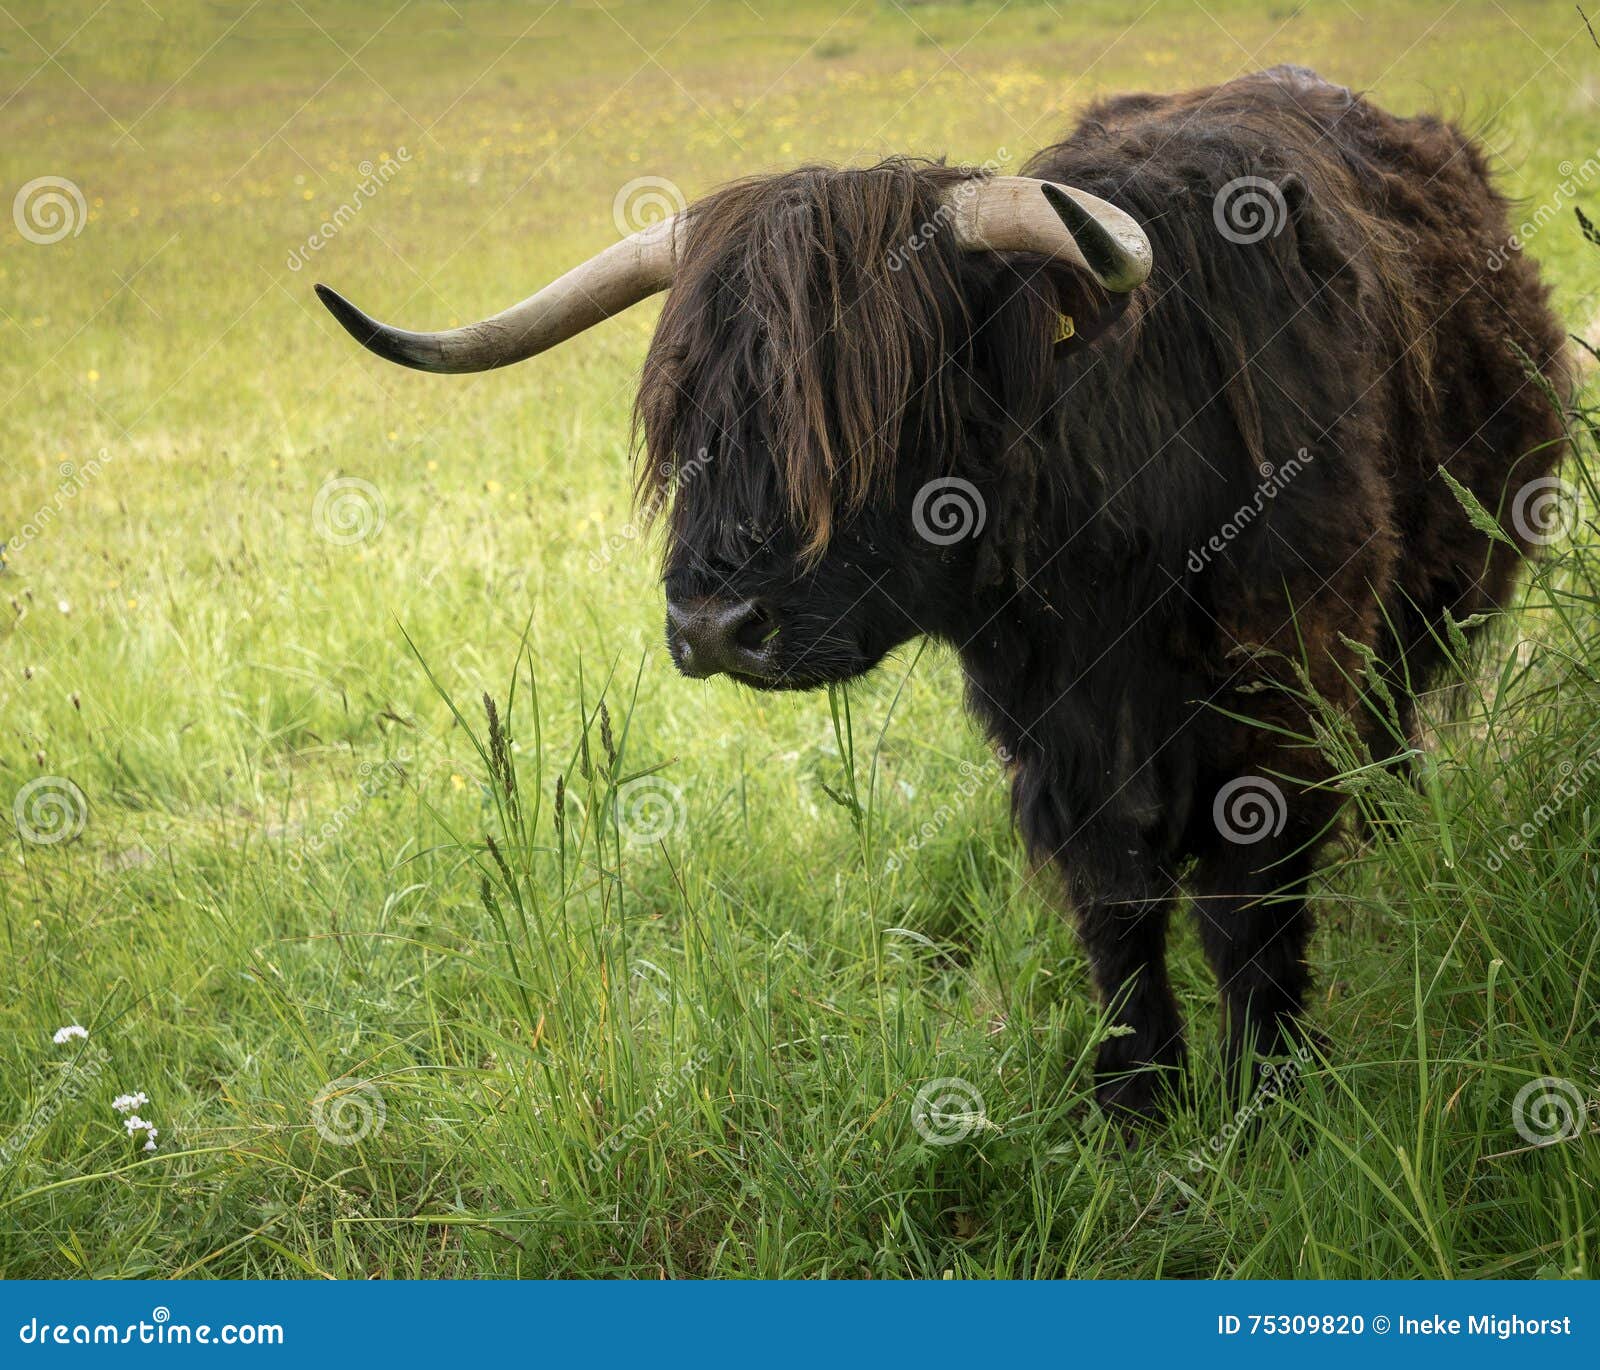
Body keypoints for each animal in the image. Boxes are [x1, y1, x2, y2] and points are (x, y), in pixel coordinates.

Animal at [316, 66, 1570, 1123]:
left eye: (882, 409)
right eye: (687, 416)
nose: (714, 625)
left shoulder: (1282, 689)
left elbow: (1244, 912)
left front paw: (1269, 1098)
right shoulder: (1050, 737)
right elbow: (1115, 907)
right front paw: (1140, 1102)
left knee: (1389, 750)